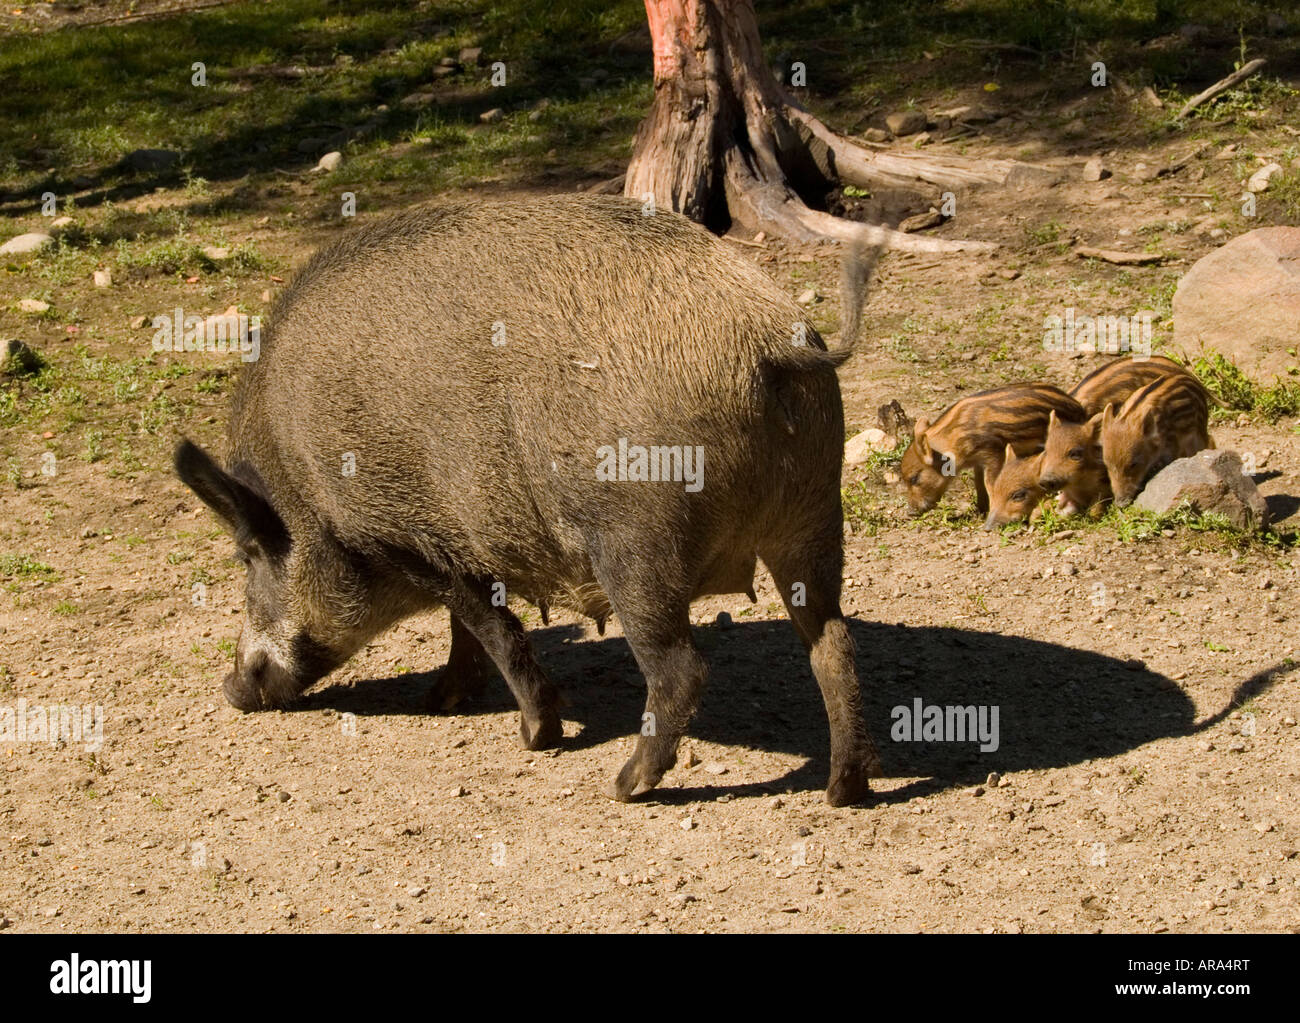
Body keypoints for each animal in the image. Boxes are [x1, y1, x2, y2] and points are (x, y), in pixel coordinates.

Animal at [174, 195, 883, 807]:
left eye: (246, 554)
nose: (231, 688)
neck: (305, 486)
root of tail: (772, 344)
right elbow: (467, 630)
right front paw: (443, 701)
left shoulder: (411, 540)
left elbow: (491, 626)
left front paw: (534, 739)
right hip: (813, 514)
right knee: (833, 641)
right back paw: (843, 792)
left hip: (635, 543)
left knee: (683, 669)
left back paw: (623, 787)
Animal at [899, 383, 1086, 517]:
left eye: (914, 479)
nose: (910, 513)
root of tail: (1079, 407)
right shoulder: (978, 461)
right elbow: (979, 483)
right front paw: (980, 511)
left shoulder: (994, 453)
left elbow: (990, 483)